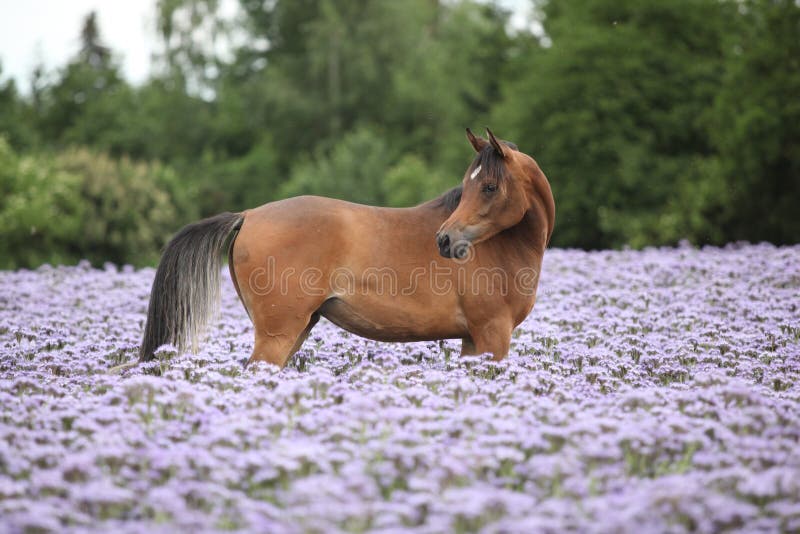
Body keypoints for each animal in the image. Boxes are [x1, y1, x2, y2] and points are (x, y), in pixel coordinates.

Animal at [139, 128, 555, 367]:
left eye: (488, 186)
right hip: (277, 335)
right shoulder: (492, 336)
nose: (446, 240)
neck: (501, 248)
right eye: (469, 186)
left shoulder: (472, 339)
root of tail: (249, 215)